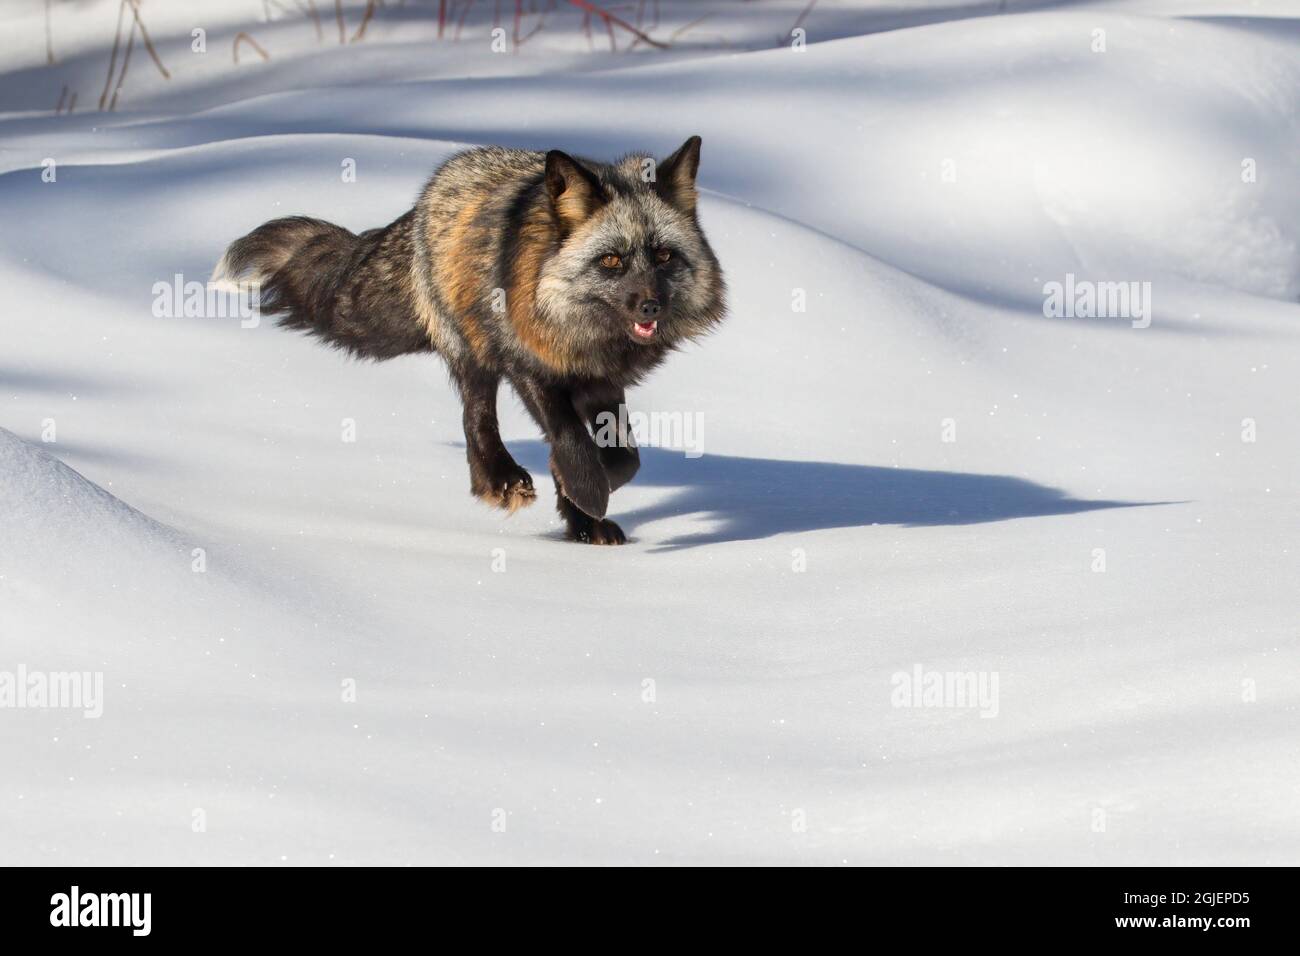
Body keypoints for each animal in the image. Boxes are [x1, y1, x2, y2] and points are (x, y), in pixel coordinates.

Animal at [214, 137, 725, 544]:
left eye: (663, 256)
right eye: (612, 261)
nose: (650, 306)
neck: (580, 329)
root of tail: (431, 190)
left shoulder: (602, 382)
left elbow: (623, 458)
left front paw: (582, 501)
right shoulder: (527, 362)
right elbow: (571, 442)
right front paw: (584, 490)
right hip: (473, 351)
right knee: (474, 421)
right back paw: (499, 481)